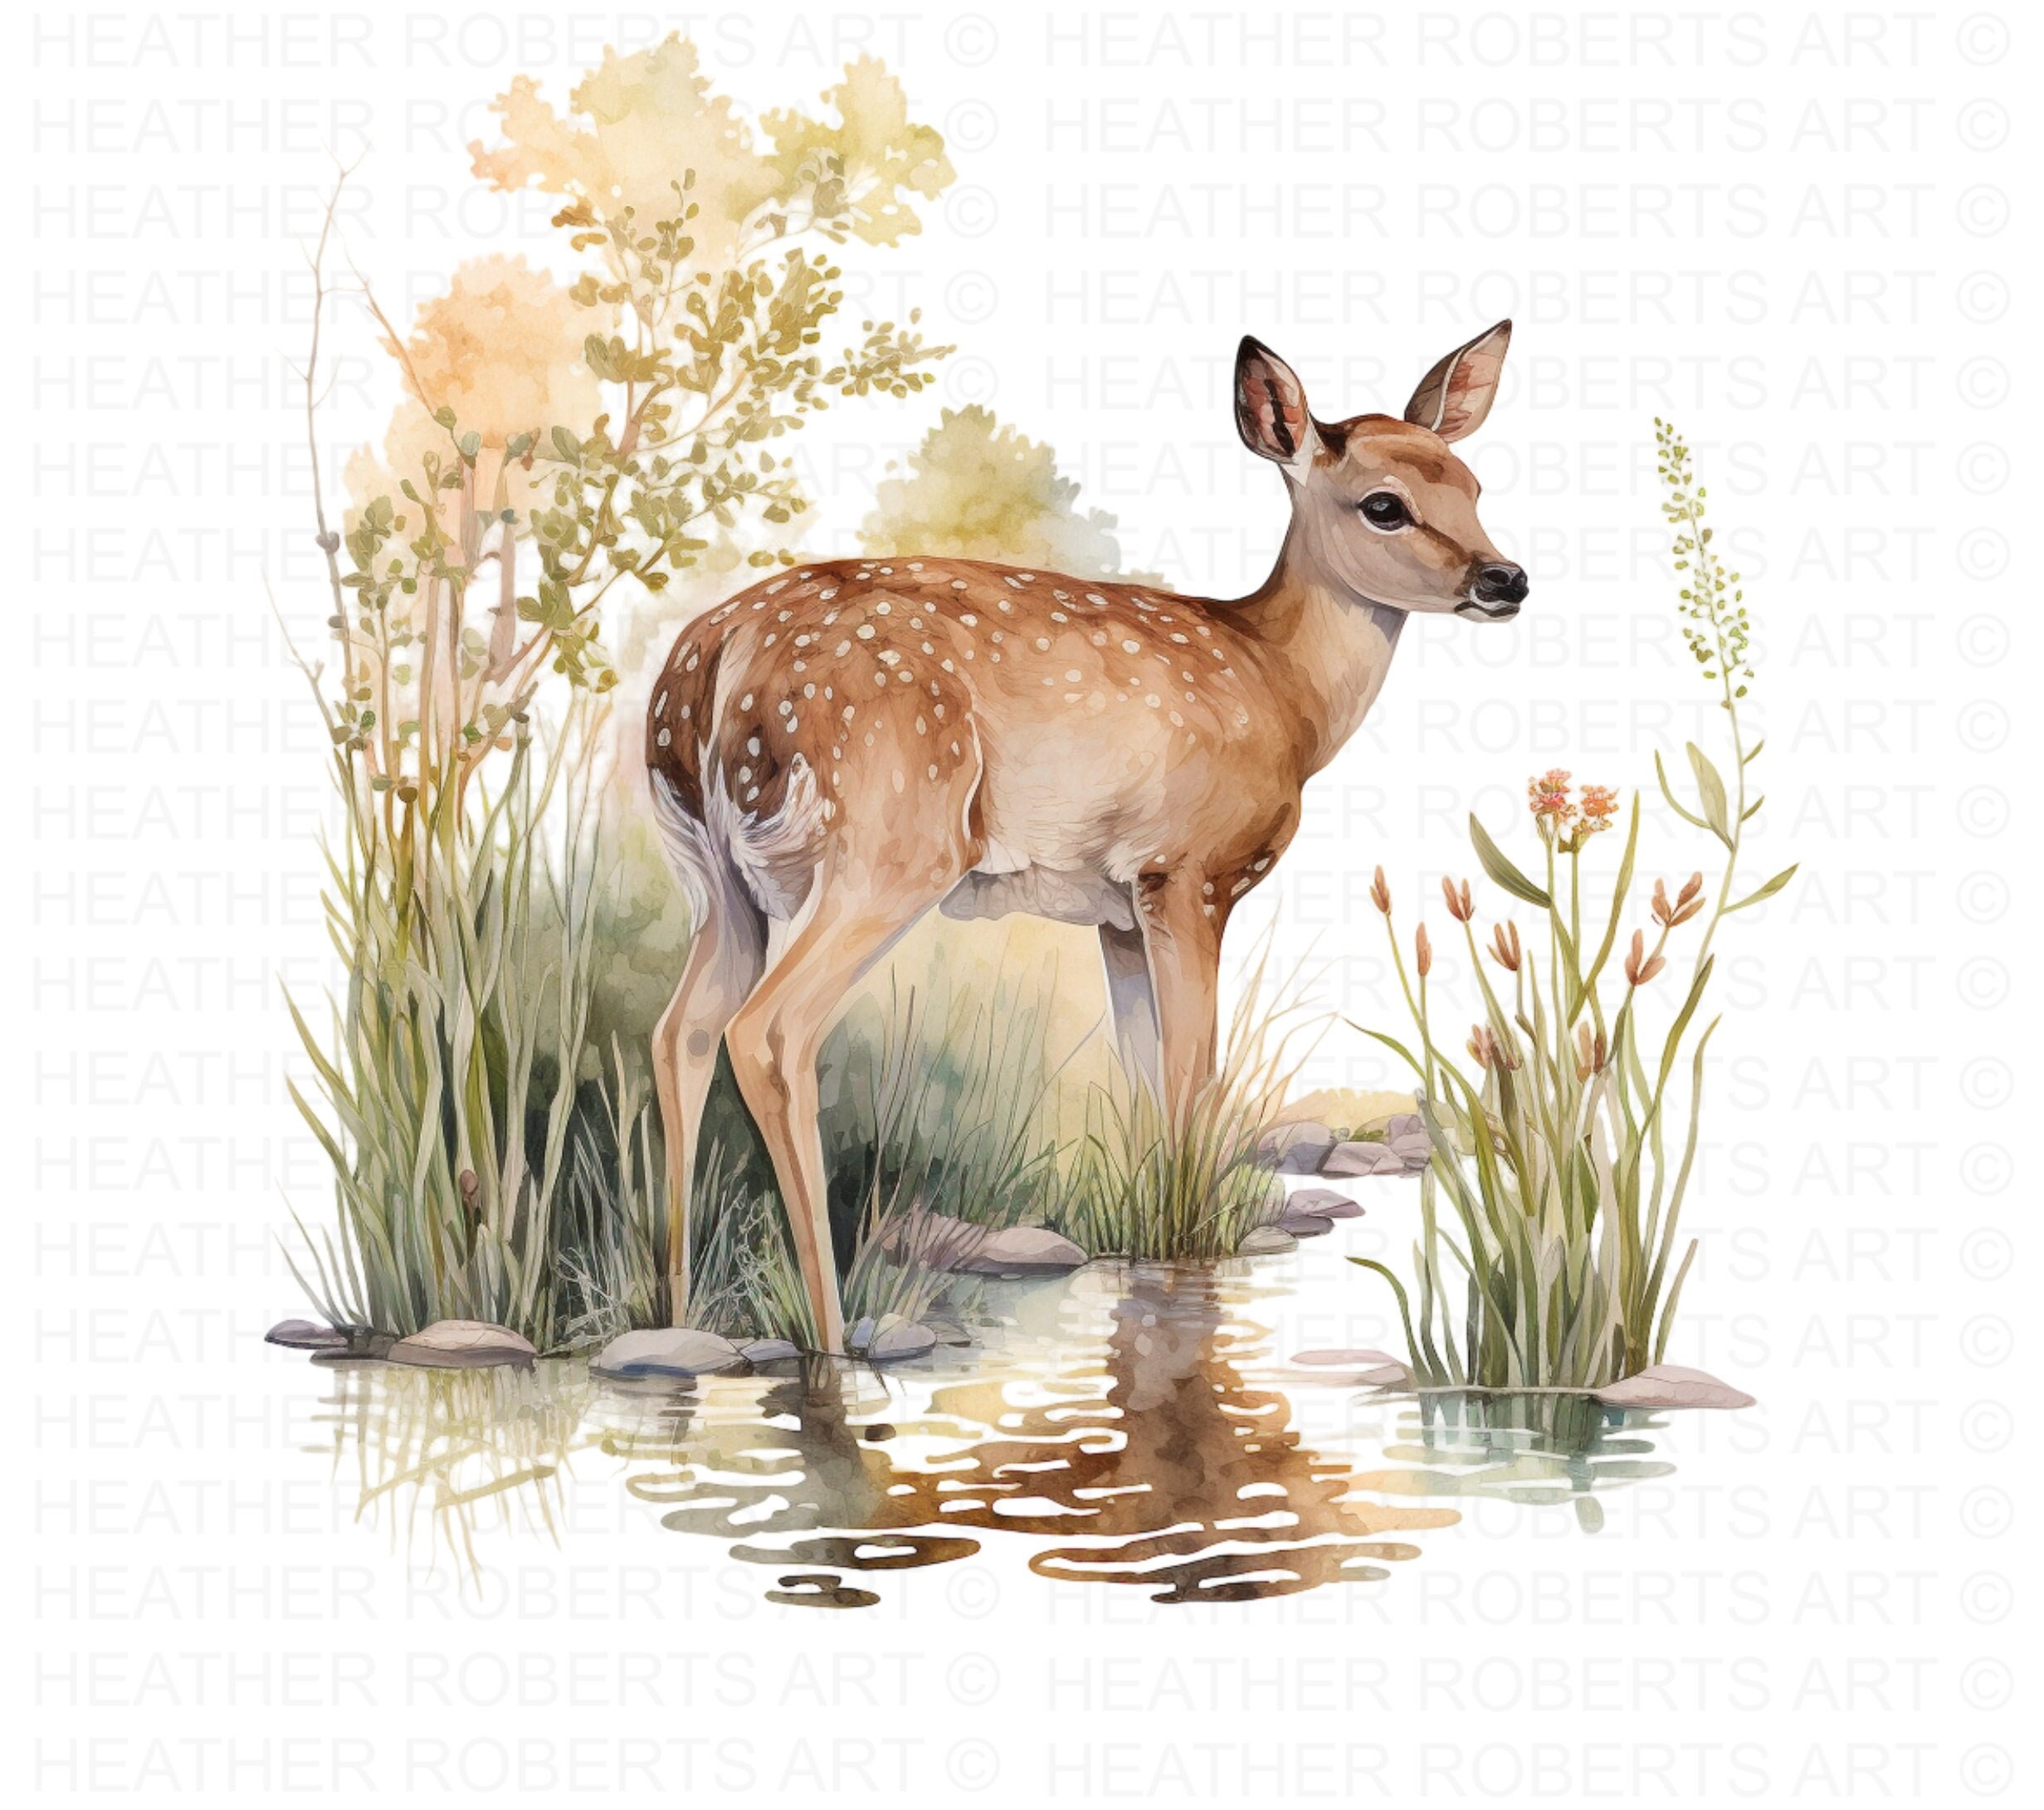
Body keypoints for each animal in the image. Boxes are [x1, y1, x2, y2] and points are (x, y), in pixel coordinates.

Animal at [644, 322, 1526, 1349]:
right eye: (1385, 505)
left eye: (1472, 486)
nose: (1506, 579)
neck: (1281, 691)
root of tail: (709, 668)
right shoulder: (1187, 872)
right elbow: (1194, 1075)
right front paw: (1189, 1254)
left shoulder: (1116, 911)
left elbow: (1144, 1078)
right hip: (890, 841)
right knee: (770, 1031)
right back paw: (830, 1332)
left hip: (720, 883)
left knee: (681, 1029)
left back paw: (678, 1309)